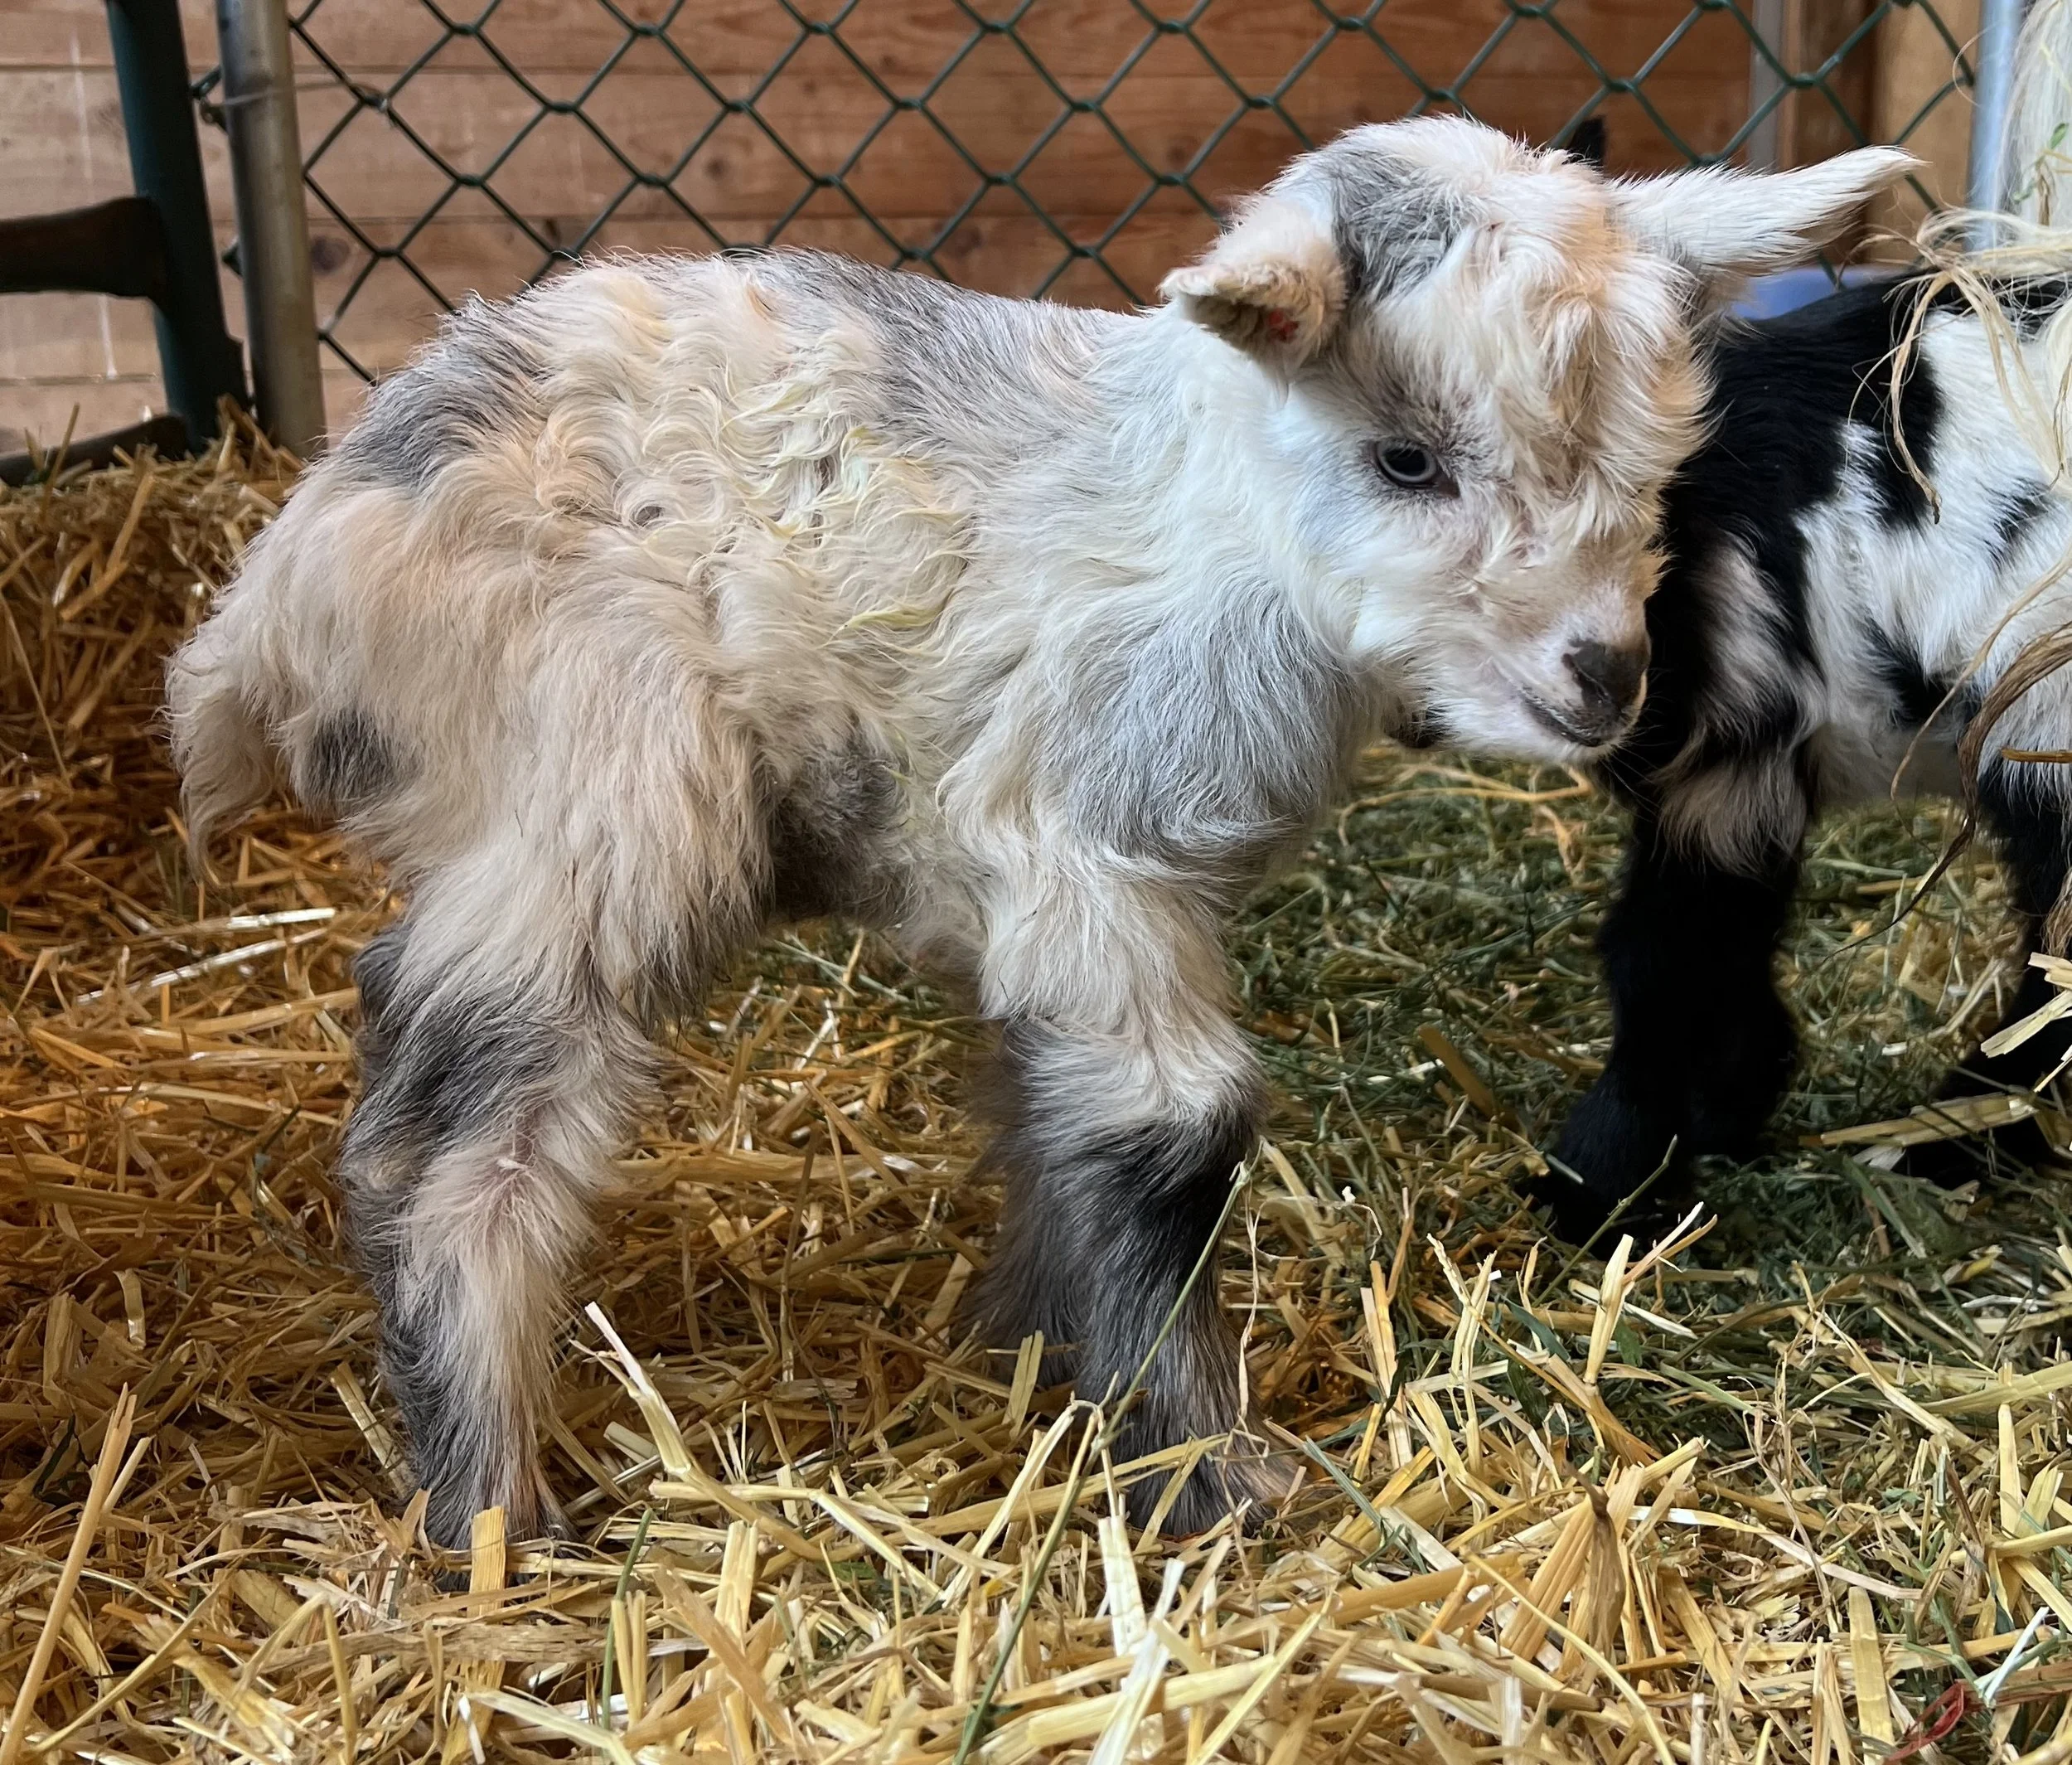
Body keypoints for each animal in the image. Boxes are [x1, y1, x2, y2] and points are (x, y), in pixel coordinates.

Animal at [167, 117, 1901, 1546]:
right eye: (1407, 458)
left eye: (1656, 465)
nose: (1602, 677)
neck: (1205, 545)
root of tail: (277, 594)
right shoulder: (1085, 855)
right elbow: (1173, 1126)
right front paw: (1211, 1473)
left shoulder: (1033, 904)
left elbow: (1049, 1110)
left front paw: (1047, 1359)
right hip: (593, 792)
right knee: (454, 1139)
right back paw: (494, 1511)